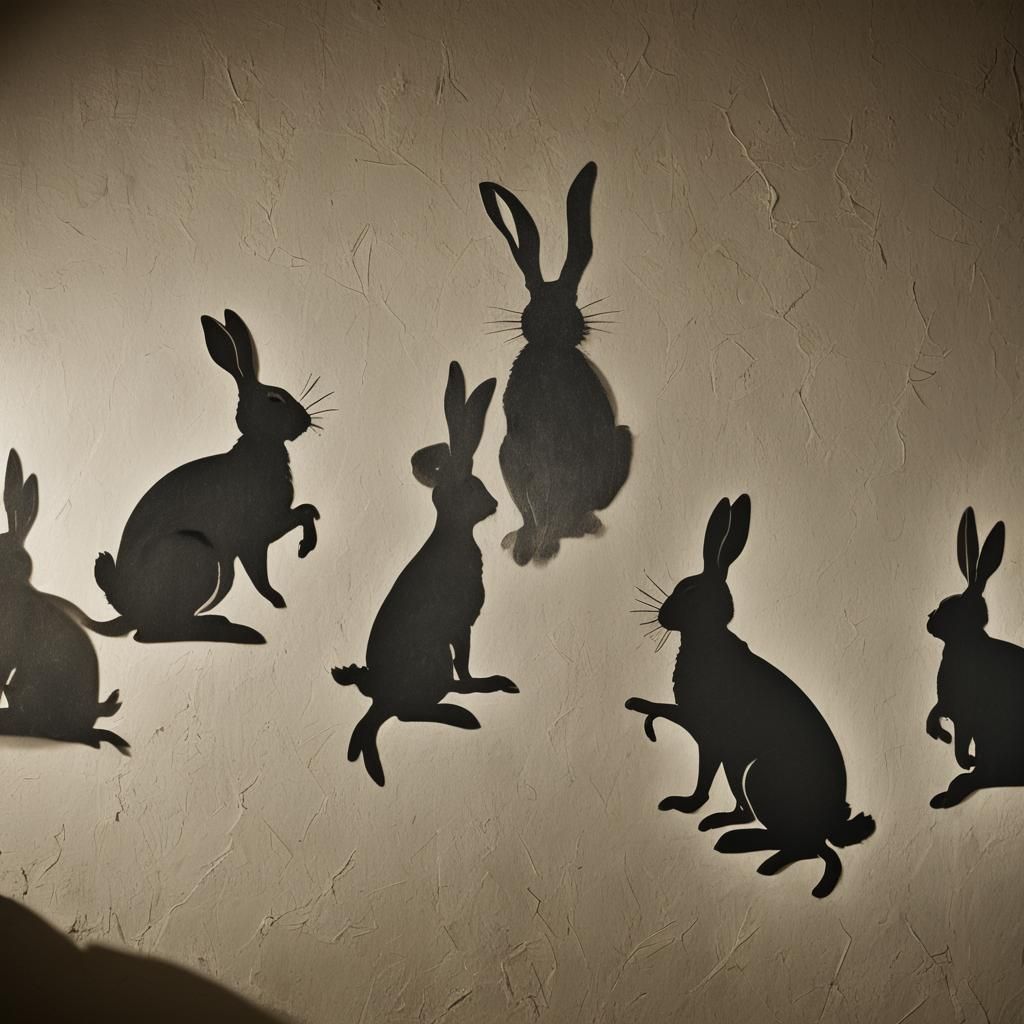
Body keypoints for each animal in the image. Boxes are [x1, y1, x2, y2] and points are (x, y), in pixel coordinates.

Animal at [89, 310, 322, 644]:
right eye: (274, 399)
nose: (305, 420)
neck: (259, 445)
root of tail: (130, 608)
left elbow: (307, 511)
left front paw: (305, 548)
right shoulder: (256, 534)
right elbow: (264, 566)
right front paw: (279, 597)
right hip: (197, 555)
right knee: (152, 633)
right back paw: (224, 627)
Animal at [332, 361, 518, 786]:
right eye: (472, 486)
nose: (494, 504)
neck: (452, 533)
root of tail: (382, 696)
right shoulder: (461, 624)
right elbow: (465, 663)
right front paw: (479, 684)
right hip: (432, 659)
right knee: (410, 711)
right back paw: (464, 713)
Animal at [624, 495, 874, 898]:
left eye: (690, 590)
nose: (662, 616)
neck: (707, 638)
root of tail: (828, 822)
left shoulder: (707, 733)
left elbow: (699, 777)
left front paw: (641, 711)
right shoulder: (712, 740)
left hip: (759, 775)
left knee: (807, 846)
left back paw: (757, 856)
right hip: (743, 770)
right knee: (765, 823)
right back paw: (729, 836)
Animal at [925, 507, 1024, 808]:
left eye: (947, 606)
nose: (928, 617)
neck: (965, 641)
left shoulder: (963, 710)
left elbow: (957, 735)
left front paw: (961, 756)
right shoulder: (950, 705)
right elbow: (938, 712)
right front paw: (940, 734)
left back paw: (954, 789)